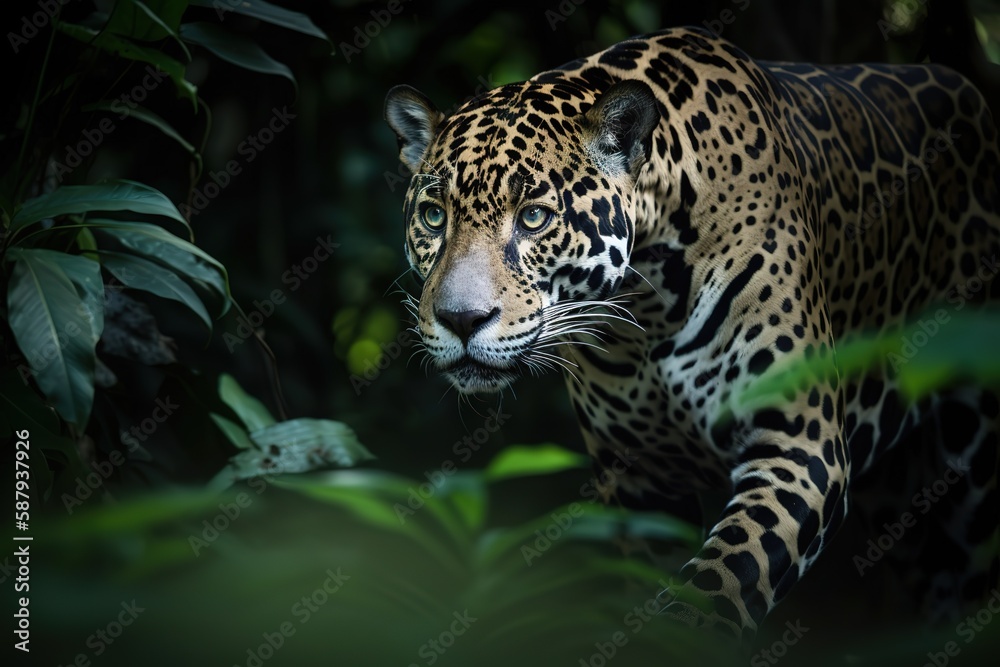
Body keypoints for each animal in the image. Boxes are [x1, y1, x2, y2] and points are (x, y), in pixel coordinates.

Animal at [383, 26, 1000, 643]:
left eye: (534, 218)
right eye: (435, 217)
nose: (462, 319)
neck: (650, 302)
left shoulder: (798, 442)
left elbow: (727, 575)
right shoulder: (639, 479)